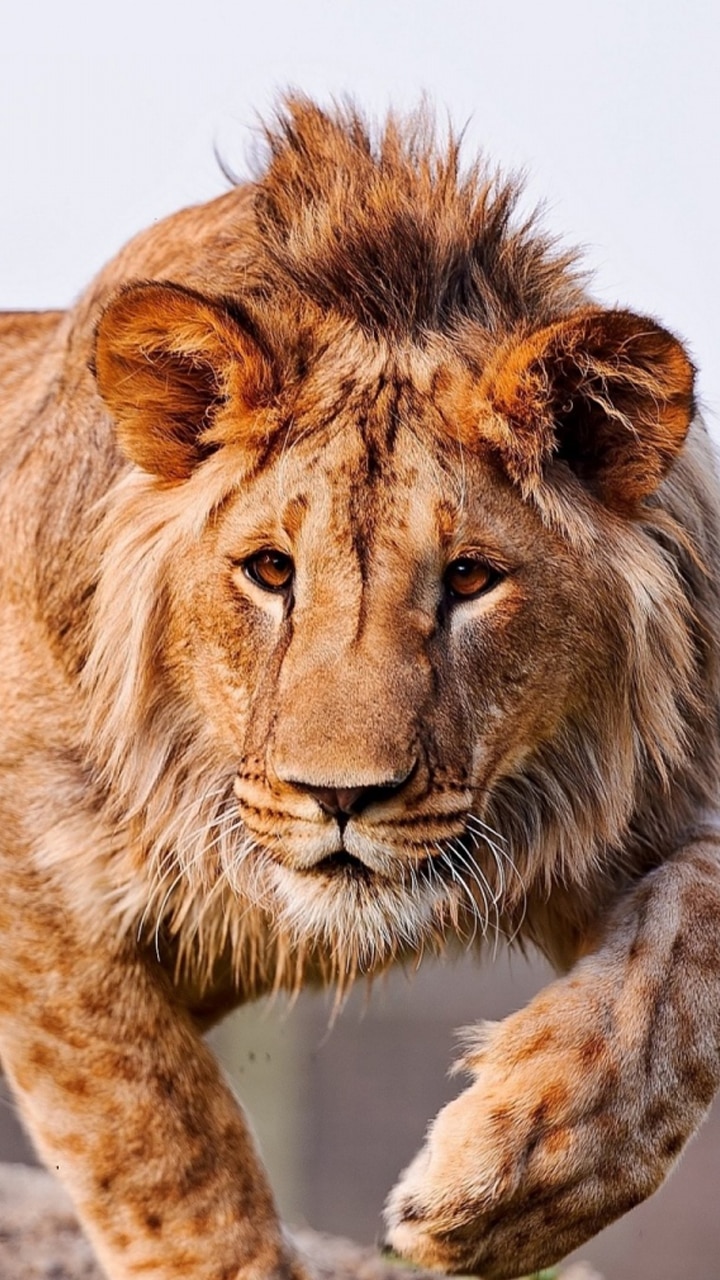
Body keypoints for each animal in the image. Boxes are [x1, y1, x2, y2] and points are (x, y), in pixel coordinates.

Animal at [0, 95, 719, 1280]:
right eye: (270, 570)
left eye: (470, 578)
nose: (342, 797)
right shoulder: (41, 906)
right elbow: (168, 1152)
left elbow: (687, 948)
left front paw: (516, 1178)